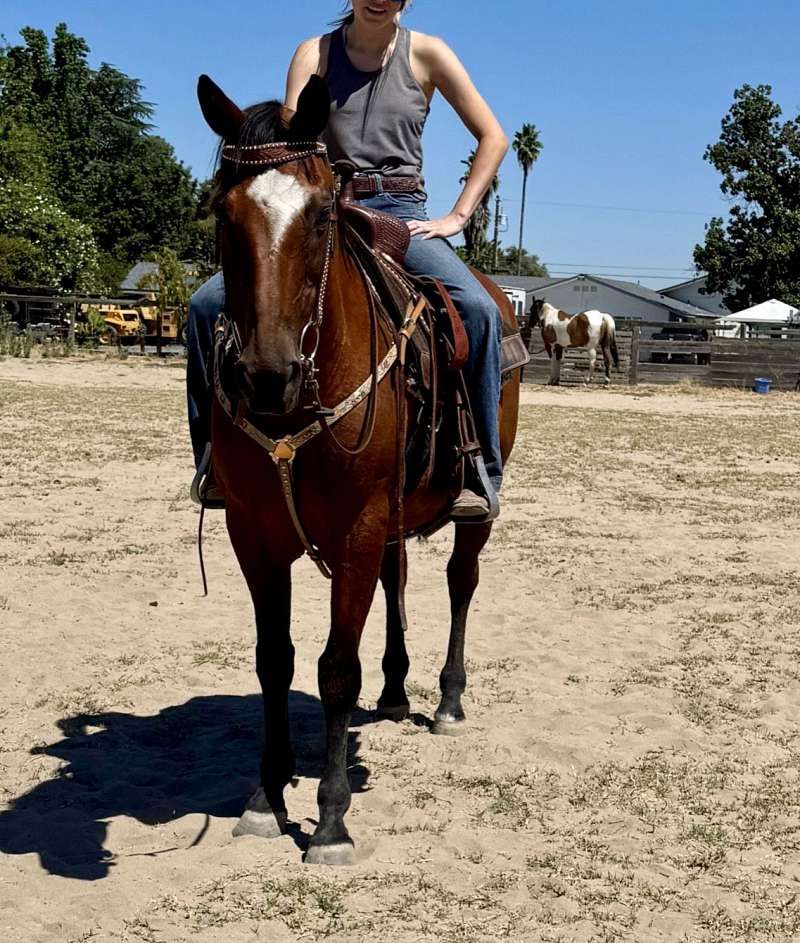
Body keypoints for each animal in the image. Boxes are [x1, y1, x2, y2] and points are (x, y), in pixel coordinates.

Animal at [196, 74, 521, 865]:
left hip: (468, 510)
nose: (267, 375)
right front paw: (265, 796)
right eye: (223, 211)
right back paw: (398, 688)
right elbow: (274, 659)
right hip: (392, 518)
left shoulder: (355, 527)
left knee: (460, 582)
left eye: (320, 214)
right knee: (397, 578)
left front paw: (332, 819)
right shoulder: (255, 534)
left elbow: (337, 668)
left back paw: (446, 699)